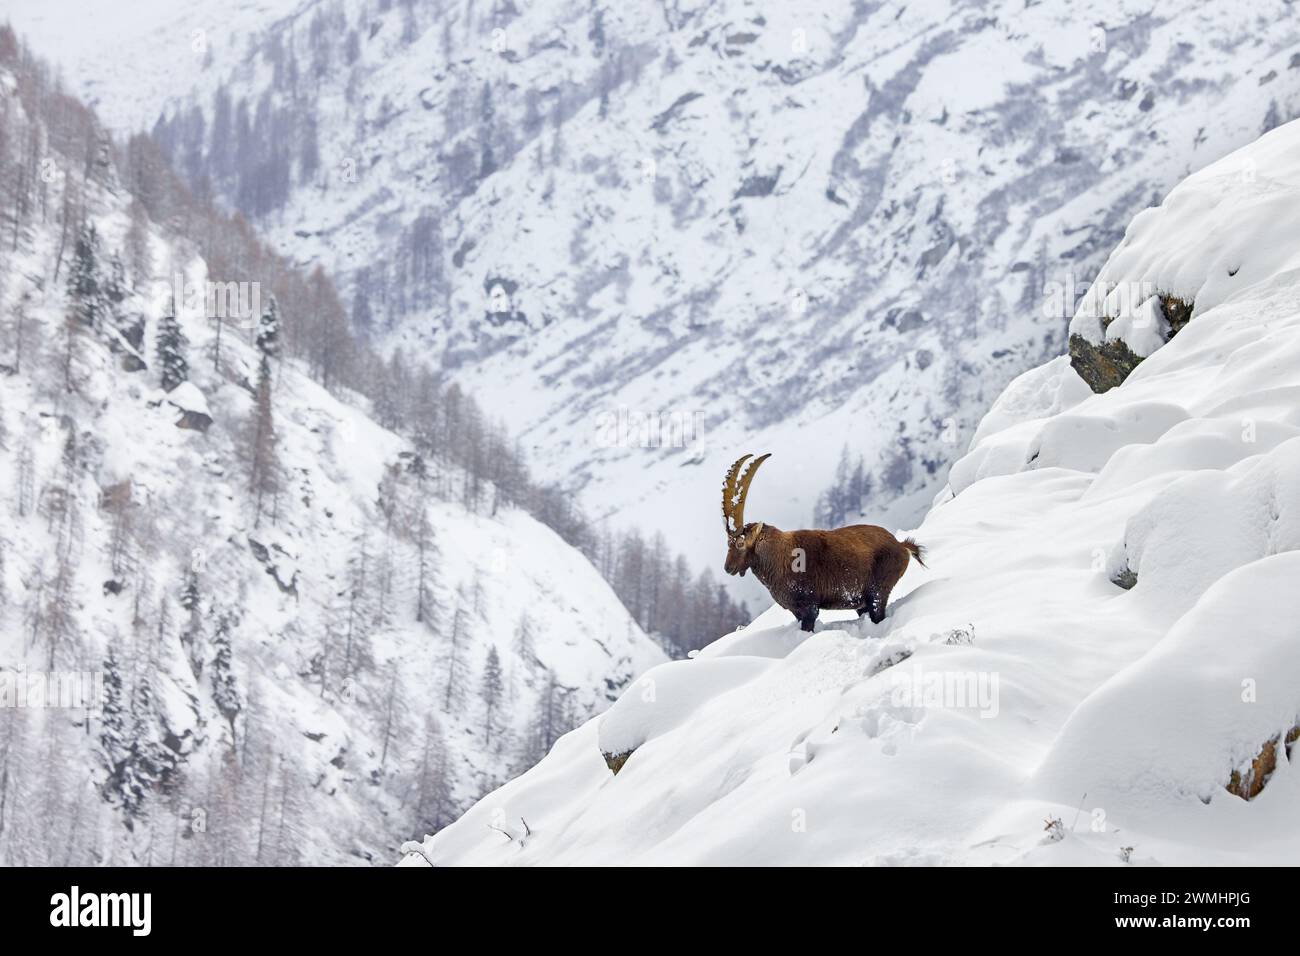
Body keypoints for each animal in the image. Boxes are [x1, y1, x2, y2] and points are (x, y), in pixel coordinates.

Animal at [721, 453, 925, 632]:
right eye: (728, 543)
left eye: (740, 543)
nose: (728, 568)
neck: (780, 556)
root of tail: (900, 545)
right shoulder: (796, 611)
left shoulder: (809, 607)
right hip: (862, 603)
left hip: (877, 591)